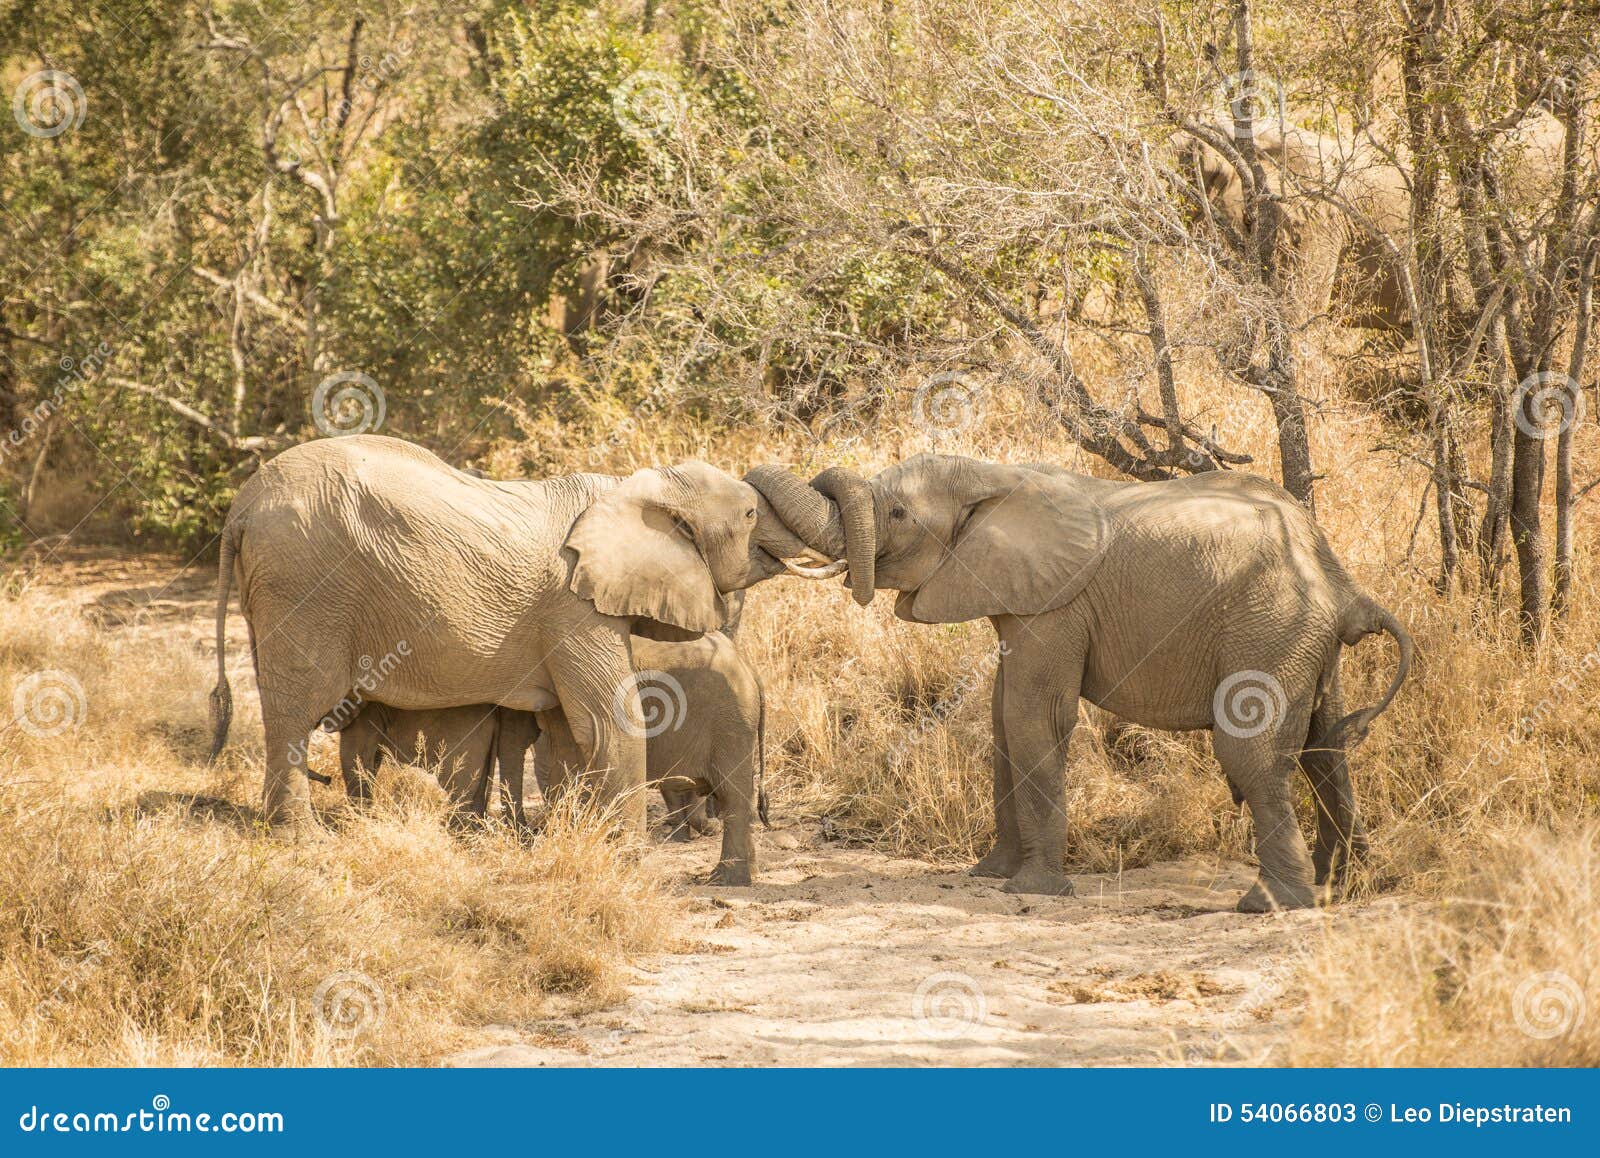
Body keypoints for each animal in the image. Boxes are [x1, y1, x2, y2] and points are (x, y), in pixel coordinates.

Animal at [206, 434, 823, 834]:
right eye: (749, 515)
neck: (634, 490)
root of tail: (242, 506)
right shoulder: (573, 606)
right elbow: (608, 715)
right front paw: (624, 854)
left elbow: (576, 730)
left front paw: (578, 835)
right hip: (304, 587)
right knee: (295, 711)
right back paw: (300, 838)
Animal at [745, 455, 1412, 911]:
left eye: (900, 514)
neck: (993, 476)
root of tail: (1344, 588)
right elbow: (1004, 723)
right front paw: (989, 875)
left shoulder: (1055, 606)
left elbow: (1033, 718)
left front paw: (1034, 890)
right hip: (1304, 642)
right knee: (1325, 746)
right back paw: (1344, 885)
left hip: (1271, 626)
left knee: (1252, 752)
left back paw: (1271, 905)